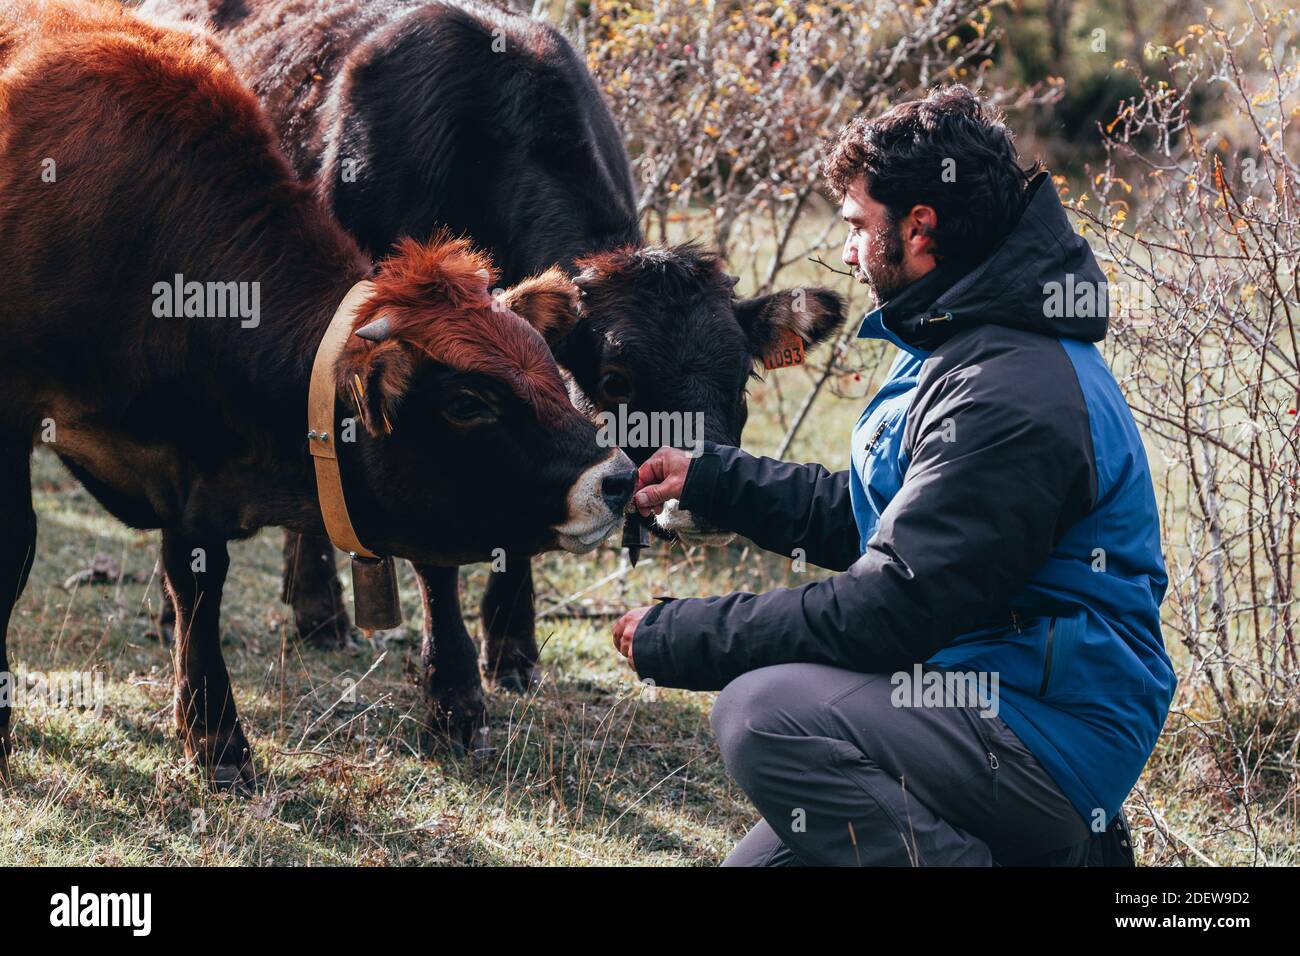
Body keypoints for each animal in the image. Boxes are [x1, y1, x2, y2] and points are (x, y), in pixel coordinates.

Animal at [0, 0, 635, 788]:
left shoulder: (195, 465)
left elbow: (197, 583)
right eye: (467, 405)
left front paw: (217, 741)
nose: (618, 479)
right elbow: (14, 554)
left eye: (550, 369)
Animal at [140, 0, 848, 724]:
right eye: (616, 381)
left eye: (741, 380)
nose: (695, 499)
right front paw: (453, 694)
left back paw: (319, 616)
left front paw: (510, 651)